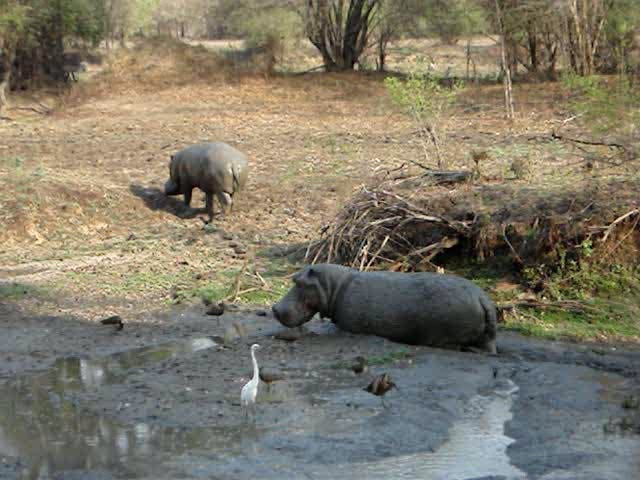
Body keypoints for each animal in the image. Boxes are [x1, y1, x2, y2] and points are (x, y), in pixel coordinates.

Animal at [272, 264, 497, 354]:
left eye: (299, 282)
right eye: (294, 278)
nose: (274, 308)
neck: (334, 287)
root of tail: (482, 297)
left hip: (442, 336)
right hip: (485, 335)